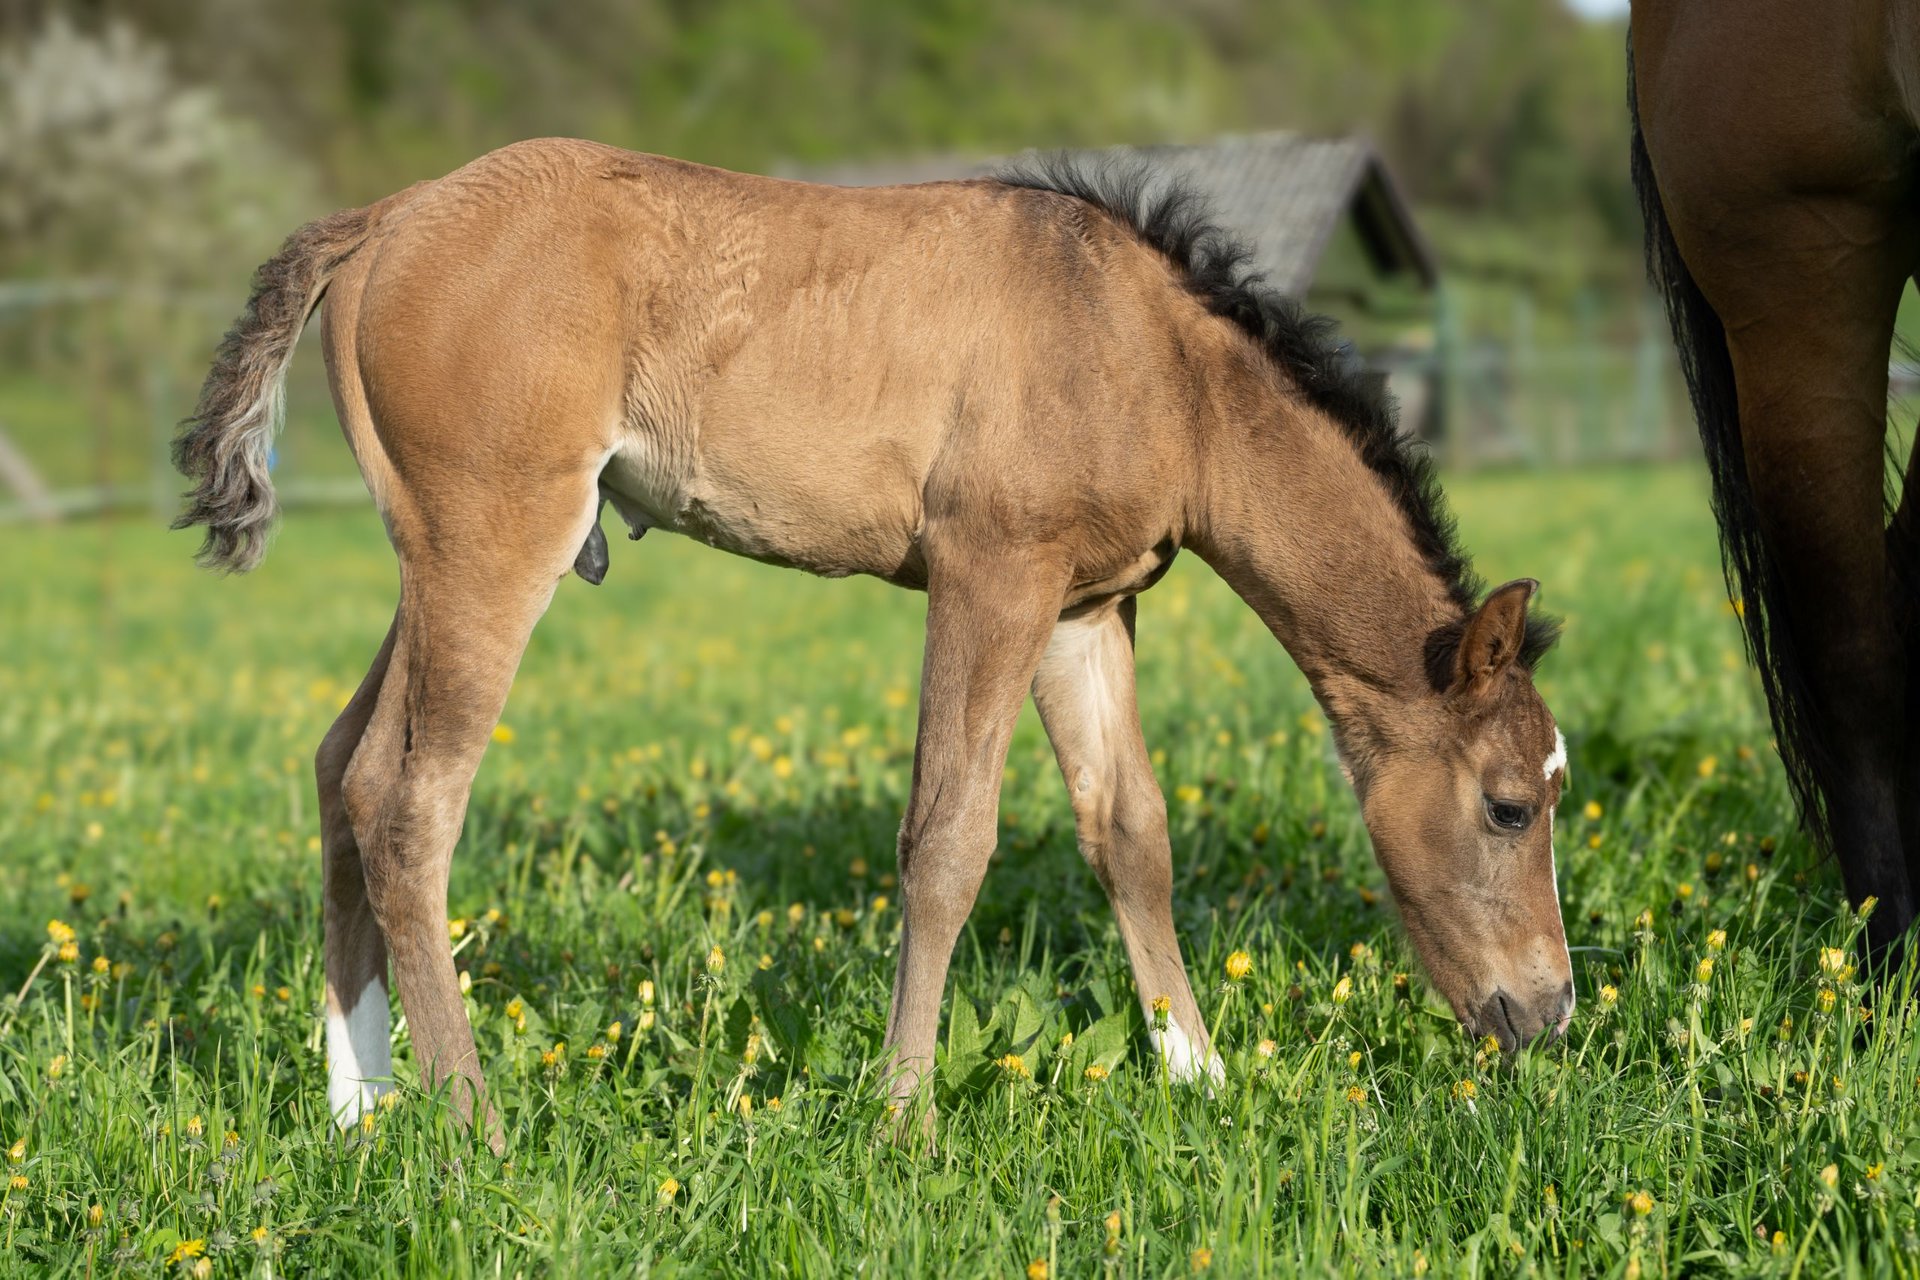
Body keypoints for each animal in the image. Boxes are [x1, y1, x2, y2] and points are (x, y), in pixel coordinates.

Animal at [173, 138, 1572, 1150]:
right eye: (1510, 803)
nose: (1550, 1010)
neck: (1157, 361)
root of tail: (383, 219)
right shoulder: (990, 573)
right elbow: (948, 839)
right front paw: (903, 1116)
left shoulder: (1084, 606)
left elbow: (1131, 830)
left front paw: (1202, 1076)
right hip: (494, 542)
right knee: (410, 802)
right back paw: (473, 1123)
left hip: (435, 556)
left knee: (340, 766)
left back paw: (359, 1107)